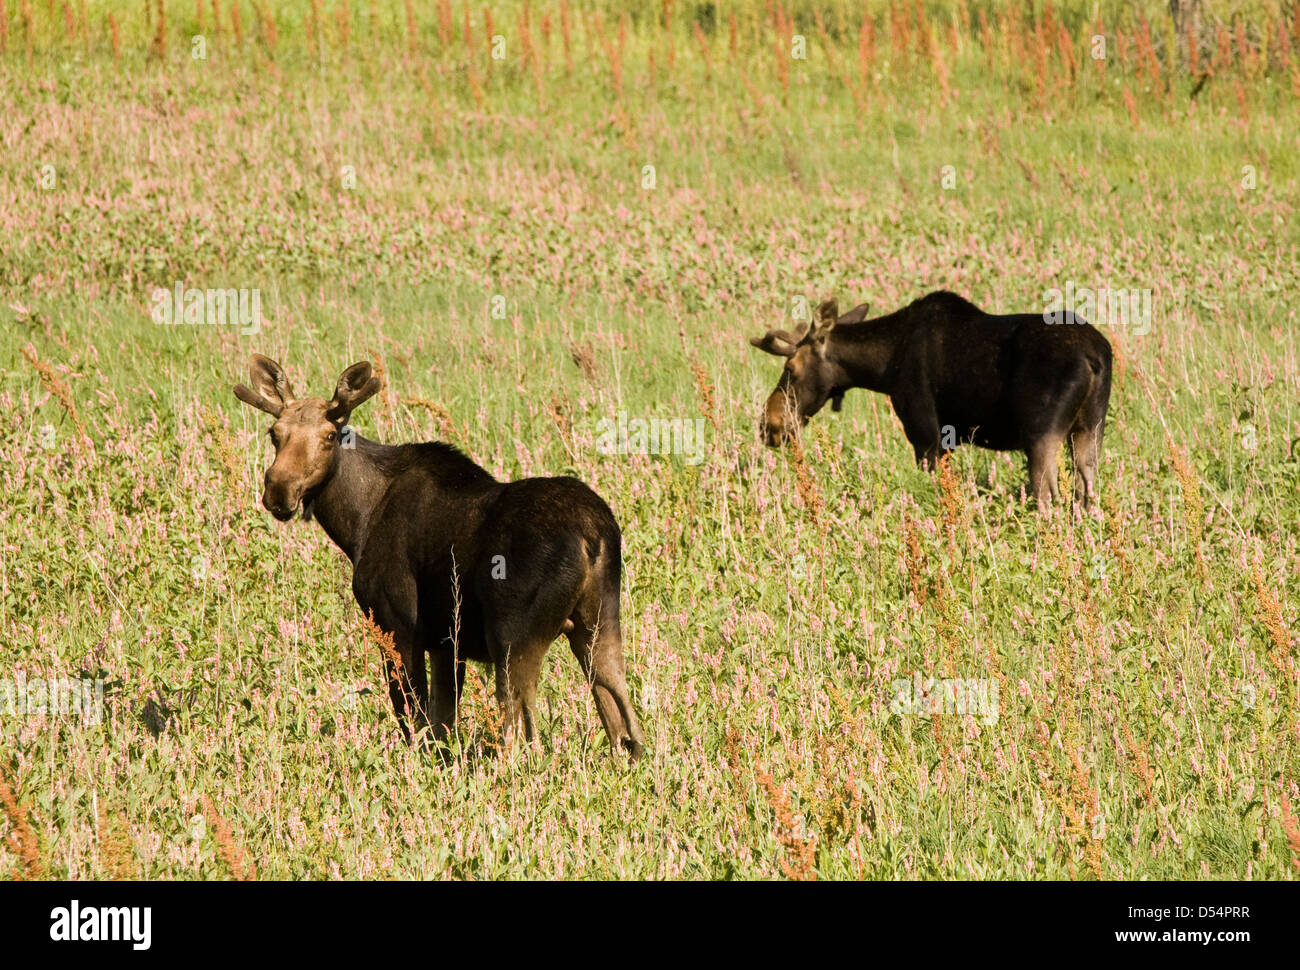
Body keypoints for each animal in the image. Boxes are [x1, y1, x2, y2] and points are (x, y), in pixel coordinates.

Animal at [233, 354, 645, 760]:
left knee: (522, 728)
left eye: (330, 435)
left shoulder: (396, 624)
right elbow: (443, 723)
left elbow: (411, 716)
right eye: (274, 433)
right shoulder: (447, 643)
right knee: (622, 713)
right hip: (600, 621)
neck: (356, 522)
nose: (279, 489)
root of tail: (592, 537)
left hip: (513, 634)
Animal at [750, 291, 1113, 511]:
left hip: (1042, 434)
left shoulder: (925, 433)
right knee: (1087, 491)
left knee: (1048, 497)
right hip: (1089, 429)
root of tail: (1094, 358)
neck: (884, 367)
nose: (770, 424)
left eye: (791, 369)